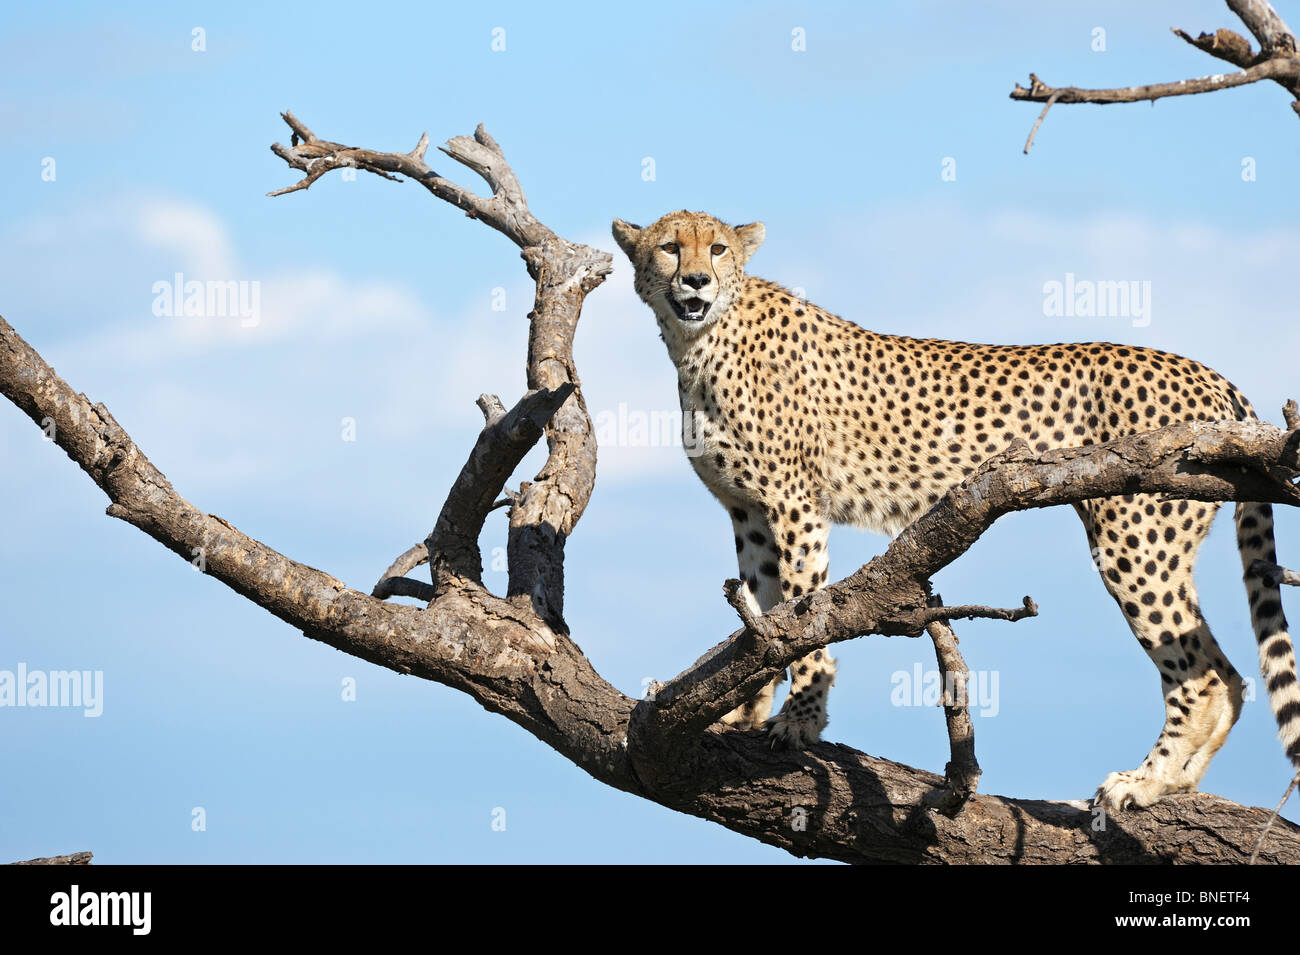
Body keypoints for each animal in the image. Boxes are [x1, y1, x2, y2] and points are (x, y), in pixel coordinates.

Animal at [612, 209, 1300, 810]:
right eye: (670, 247)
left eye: (717, 249)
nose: (695, 281)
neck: (699, 341)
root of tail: (1208, 372)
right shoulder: (748, 511)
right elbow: (764, 611)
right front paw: (743, 710)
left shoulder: (793, 504)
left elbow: (804, 615)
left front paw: (801, 721)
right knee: (1229, 676)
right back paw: (1175, 785)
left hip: (1136, 541)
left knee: (1202, 675)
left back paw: (1144, 783)